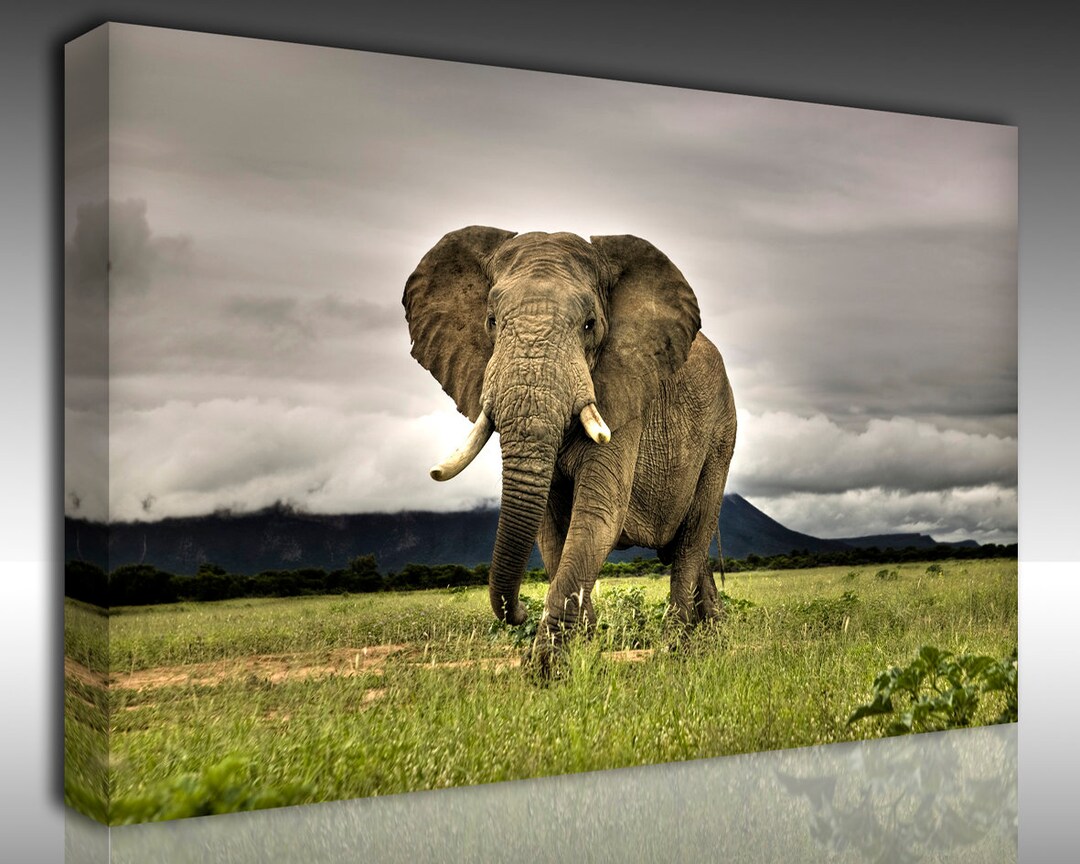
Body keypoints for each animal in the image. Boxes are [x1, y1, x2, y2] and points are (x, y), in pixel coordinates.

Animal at [403, 226, 736, 669]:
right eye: (491, 321)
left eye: (590, 325)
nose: (518, 611)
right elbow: (549, 527)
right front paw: (584, 648)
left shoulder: (624, 395)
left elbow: (597, 514)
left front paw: (547, 669)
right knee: (687, 548)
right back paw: (713, 634)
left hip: (722, 433)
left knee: (692, 536)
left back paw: (677, 647)